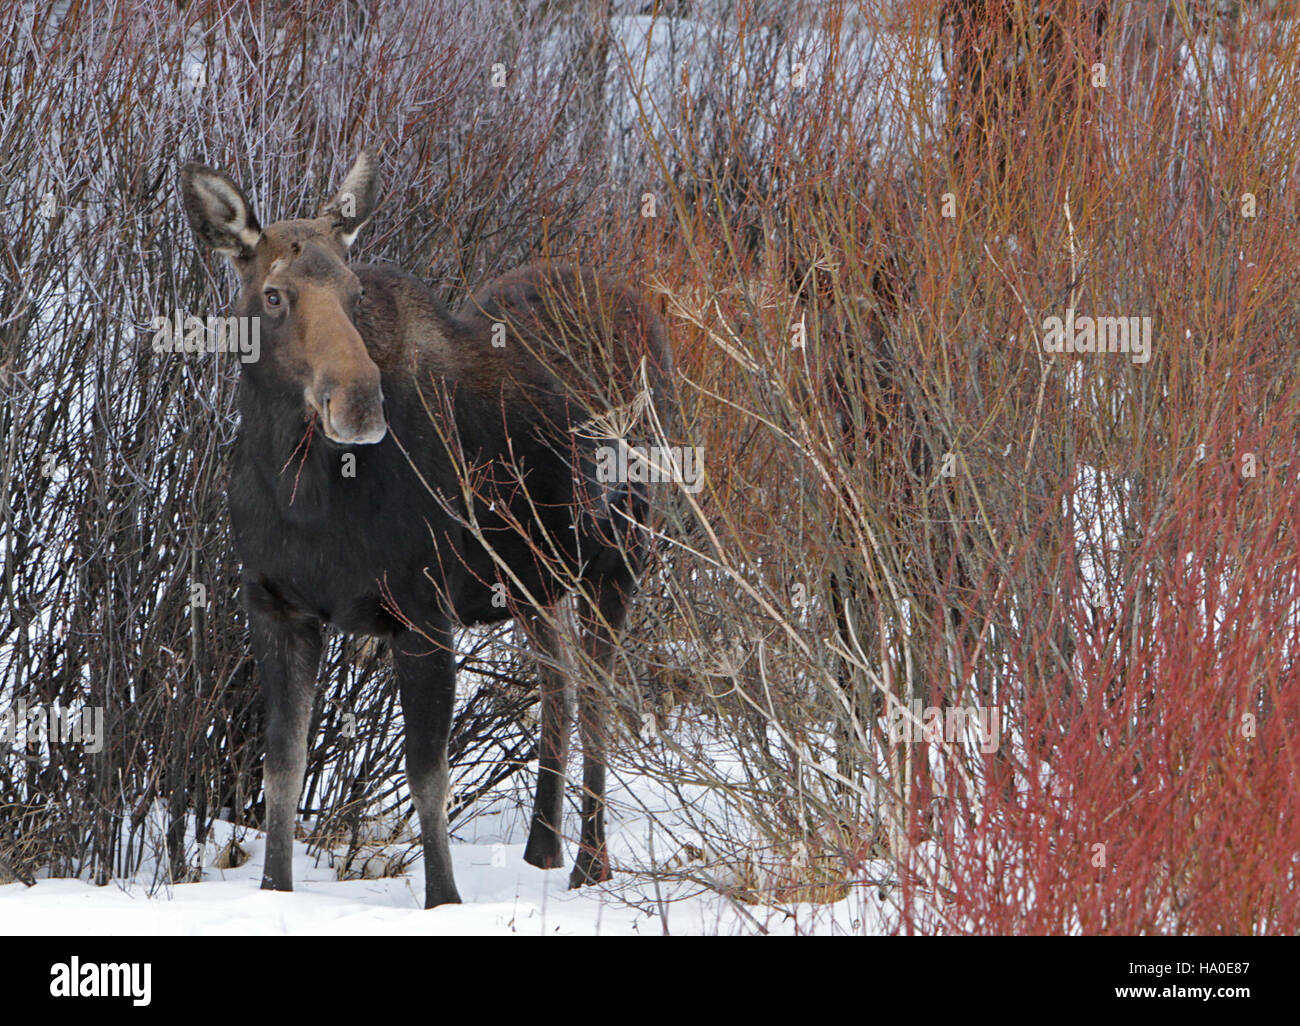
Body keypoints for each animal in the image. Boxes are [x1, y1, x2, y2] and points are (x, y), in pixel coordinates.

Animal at [179, 153, 675, 907]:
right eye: (274, 294)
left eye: (355, 292)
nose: (359, 402)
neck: (304, 492)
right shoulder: (274, 604)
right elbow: (282, 768)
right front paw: (274, 891)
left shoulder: (422, 610)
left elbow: (427, 775)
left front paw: (445, 900)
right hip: (531, 581)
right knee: (557, 685)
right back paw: (542, 849)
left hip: (617, 559)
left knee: (596, 698)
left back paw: (591, 864)